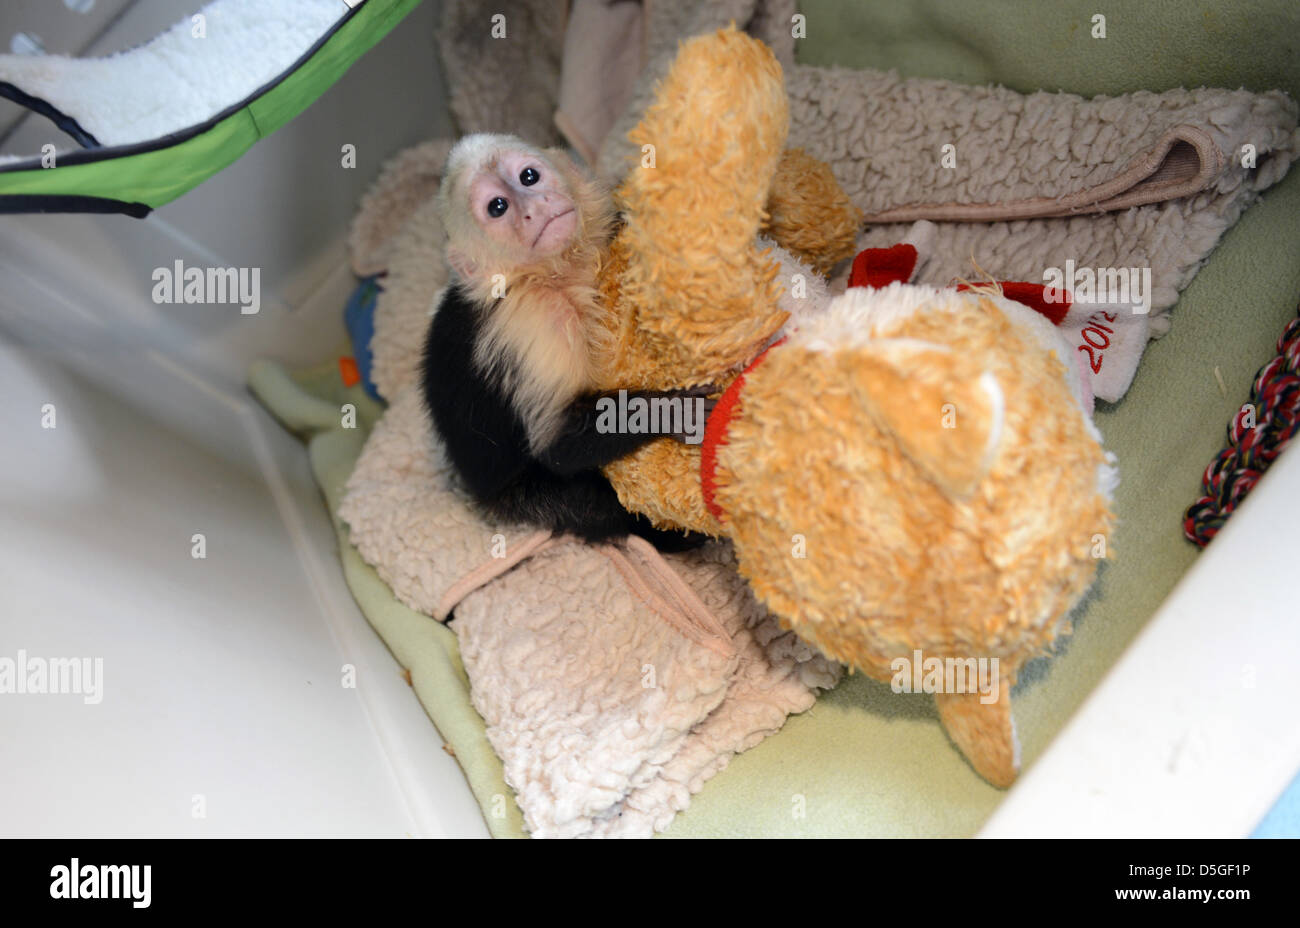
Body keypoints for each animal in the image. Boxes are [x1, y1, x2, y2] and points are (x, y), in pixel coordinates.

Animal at [421, 134, 711, 549]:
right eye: (497, 207)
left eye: (528, 176)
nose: (533, 208)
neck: (553, 273)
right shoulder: (532, 322)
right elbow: (558, 445)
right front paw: (671, 412)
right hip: (524, 499)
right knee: (591, 504)